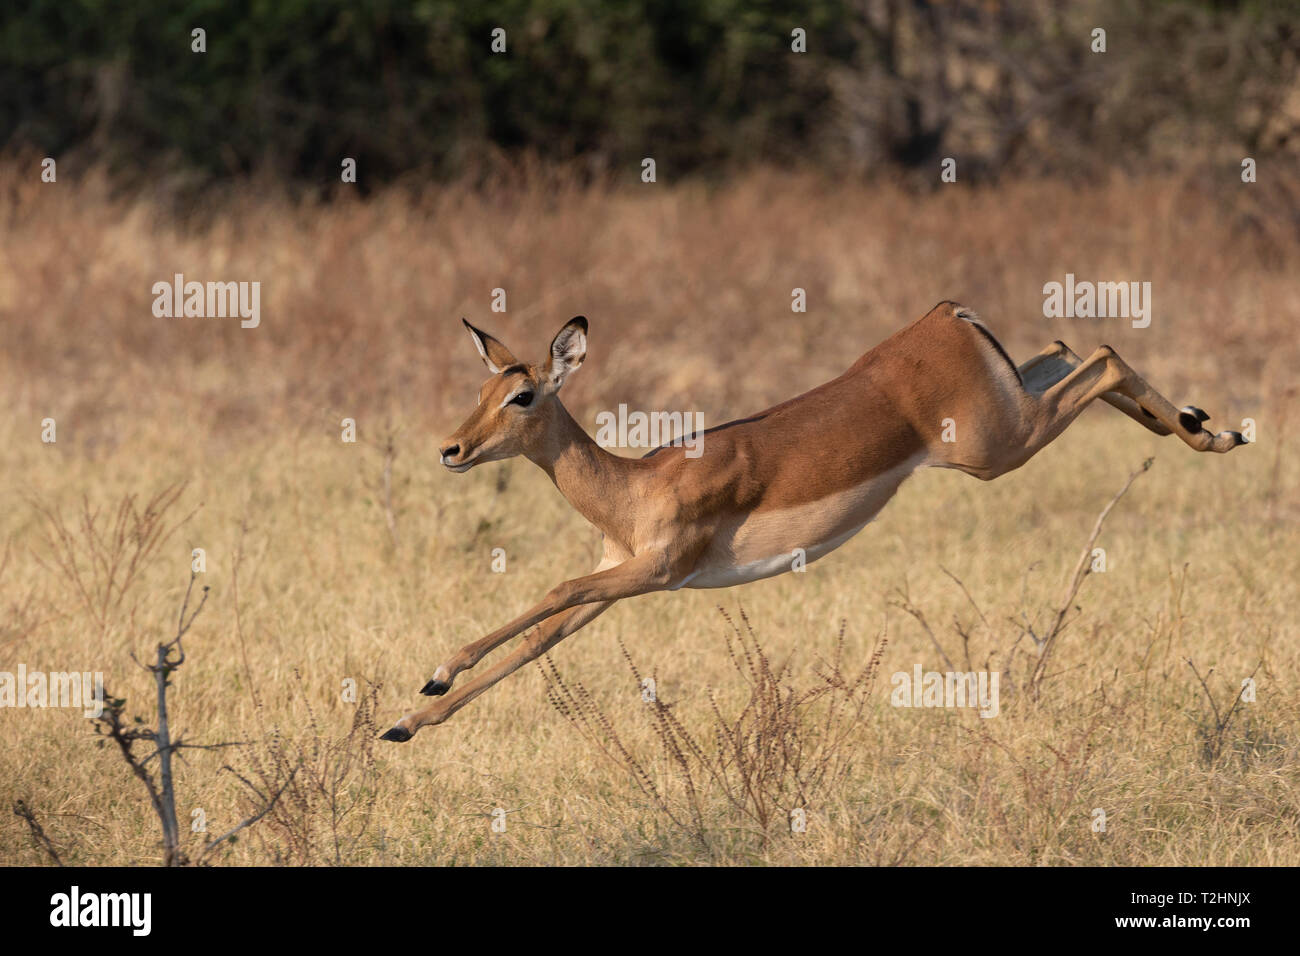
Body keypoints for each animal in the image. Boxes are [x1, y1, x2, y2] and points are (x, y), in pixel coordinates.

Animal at [381, 301, 1246, 741]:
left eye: (523, 395)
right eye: (484, 387)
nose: (452, 449)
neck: (633, 487)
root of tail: (947, 315)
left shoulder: (654, 571)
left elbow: (550, 592)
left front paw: (431, 675)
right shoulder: (615, 578)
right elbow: (538, 638)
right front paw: (410, 720)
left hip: (998, 448)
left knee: (1103, 352)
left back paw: (1215, 432)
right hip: (1012, 412)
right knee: (1072, 346)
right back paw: (1198, 423)